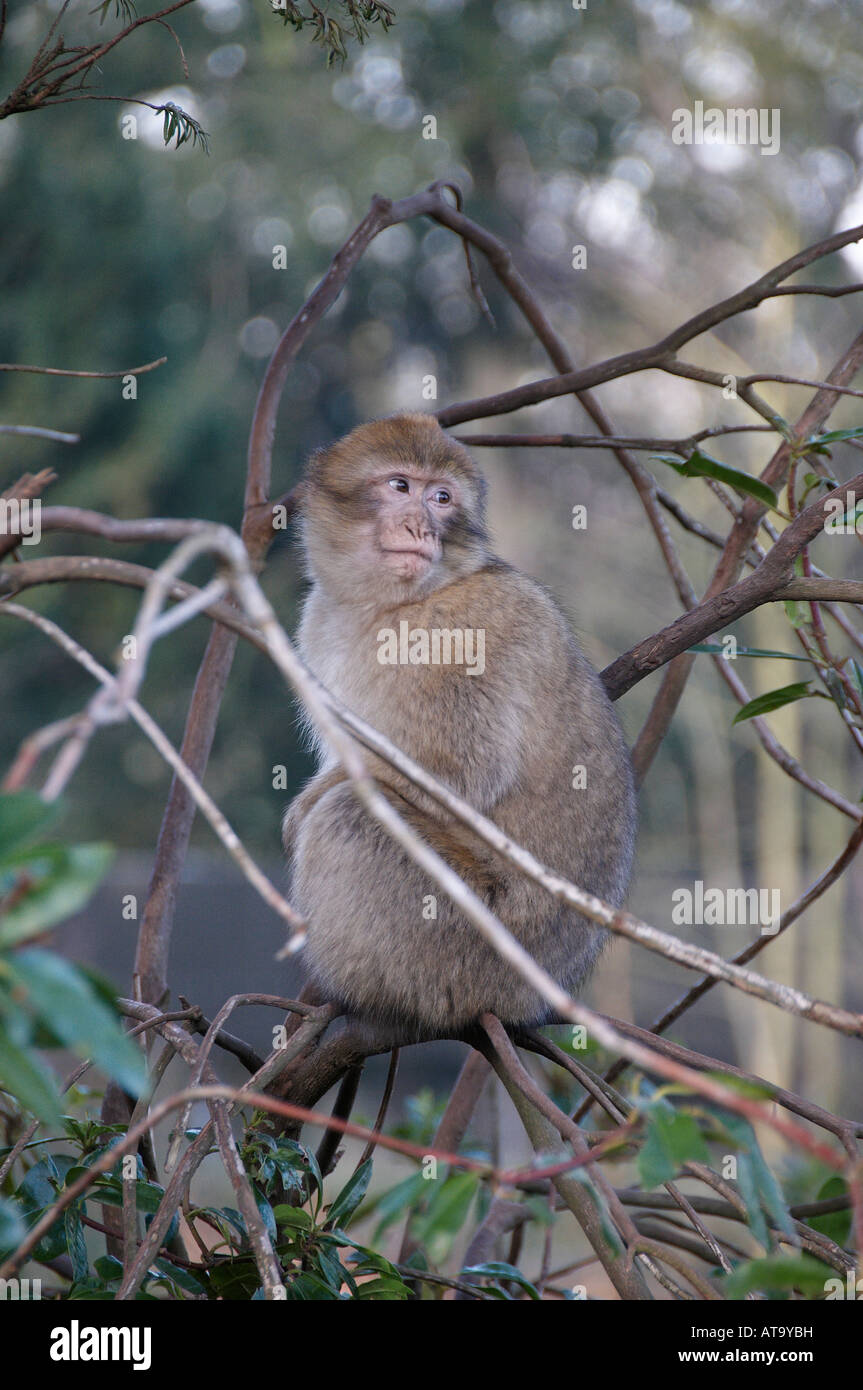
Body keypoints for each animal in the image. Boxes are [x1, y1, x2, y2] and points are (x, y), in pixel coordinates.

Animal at [283, 412, 635, 1040]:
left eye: (441, 499)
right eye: (401, 486)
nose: (422, 526)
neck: (391, 607)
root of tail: (529, 999)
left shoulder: (462, 635)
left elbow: (456, 777)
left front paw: (304, 806)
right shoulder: (318, 618)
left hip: (467, 946)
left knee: (349, 815)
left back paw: (364, 996)